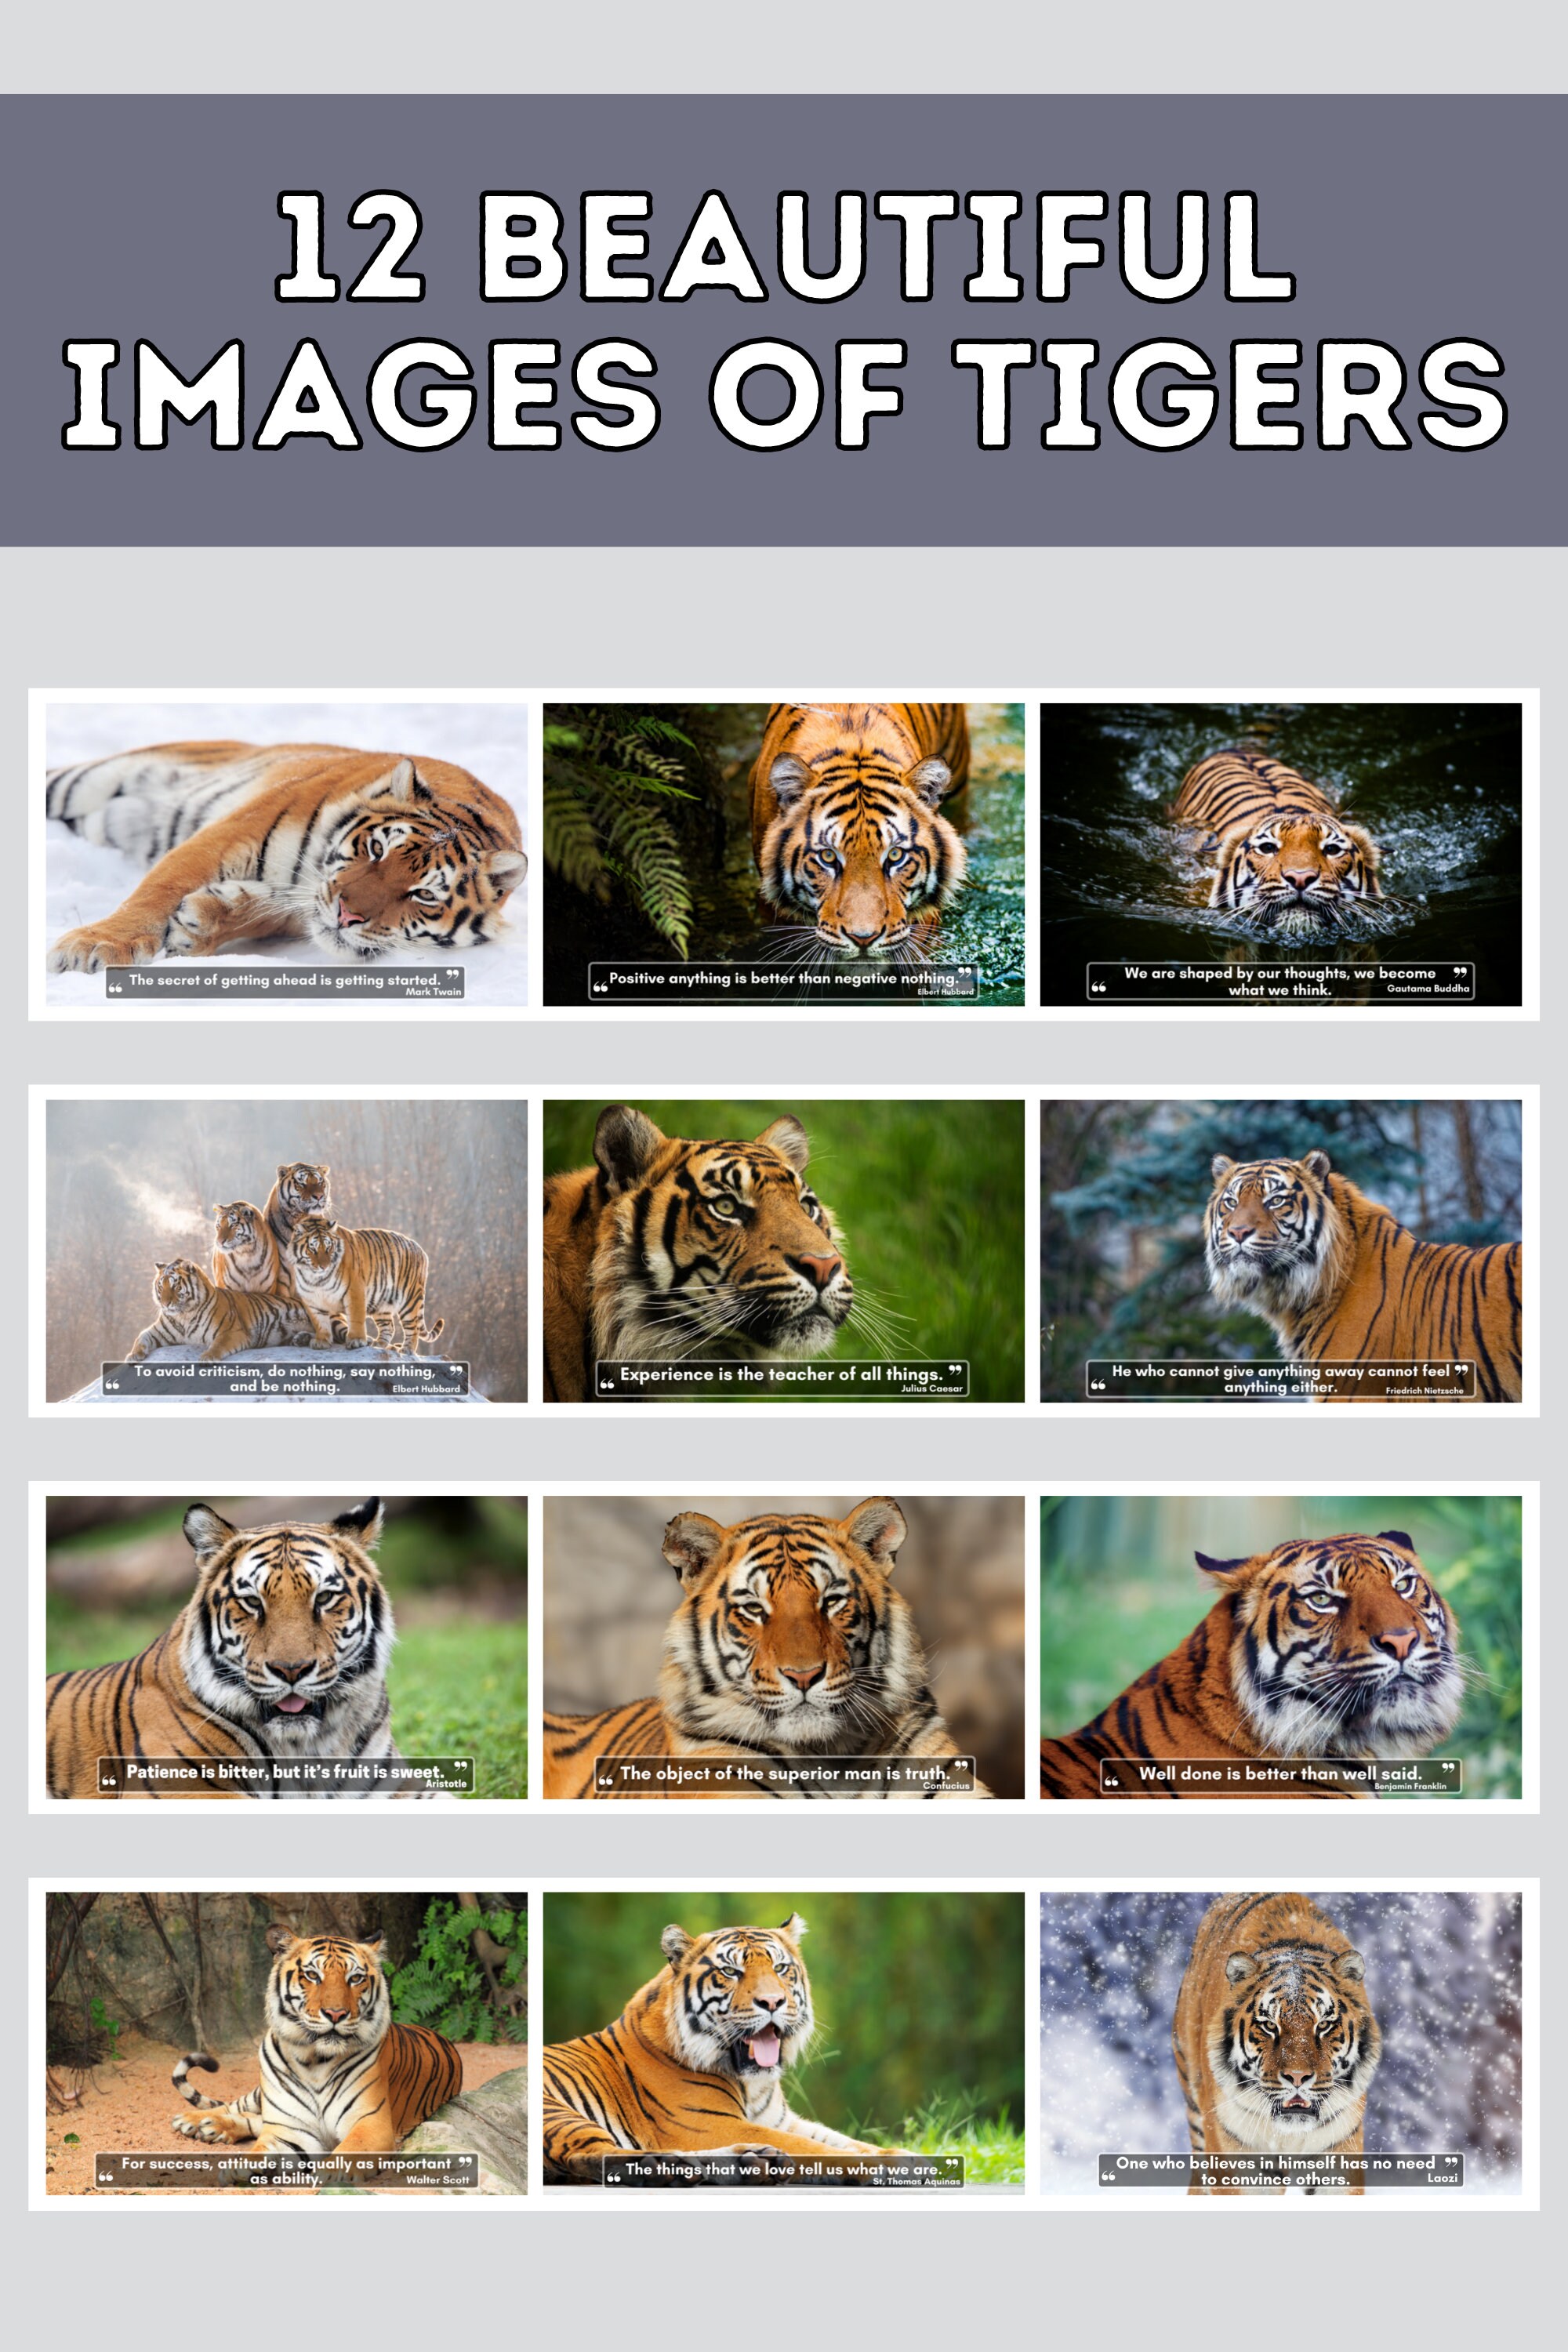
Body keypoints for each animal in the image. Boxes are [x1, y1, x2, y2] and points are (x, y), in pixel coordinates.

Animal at [46, 741, 526, 970]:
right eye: (377, 849)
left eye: (424, 895)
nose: (347, 916)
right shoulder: (231, 833)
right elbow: (160, 888)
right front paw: (95, 946)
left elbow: (268, 913)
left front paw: (199, 924)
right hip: (87, 779)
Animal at [126, 1260, 315, 1363]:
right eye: (161, 1286)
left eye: (176, 1286)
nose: (165, 1304)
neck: (183, 1316)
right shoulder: (158, 1331)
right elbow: (140, 1337)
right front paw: (133, 1355)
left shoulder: (232, 1331)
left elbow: (219, 1344)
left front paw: (207, 1357)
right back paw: (301, 1339)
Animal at [171, 1925, 461, 2160]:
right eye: (312, 1976)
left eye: (355, 1978)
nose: (336, 2014)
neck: (313, 2060)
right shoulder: (289, 2129)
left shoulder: (371, 2125)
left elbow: (343, 2156)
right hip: (260, 2095)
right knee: (236, 2106)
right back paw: (193, 2121)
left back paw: (212, 2128)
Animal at [290, 1213, 444, 1354]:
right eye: (313, 1249)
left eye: (329, 1248)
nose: (325, 1266)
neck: (316, 1279)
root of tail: (420, 1248)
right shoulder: (311, 1299)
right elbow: (320, 1322)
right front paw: (321, 1341)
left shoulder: (354, 1290)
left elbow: (356, 1318)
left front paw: (356, 1341)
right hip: (382, 1303)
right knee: (389, 1327)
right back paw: (378, 1344)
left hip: (409, 1299)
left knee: (413, 1327)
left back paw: (407, 1349)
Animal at [542, 1912, 905, 2183]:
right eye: (731, 1971)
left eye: (780, 1968)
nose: (772, 2002)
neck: (754, 2085)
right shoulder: (709, 2124)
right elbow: (819, 2149)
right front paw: (881, 2168)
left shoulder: (778, 2122)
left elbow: (841, 2139)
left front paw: (902, 2156)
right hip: (557, 2111)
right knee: (587, 2154)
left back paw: (752, 2162)